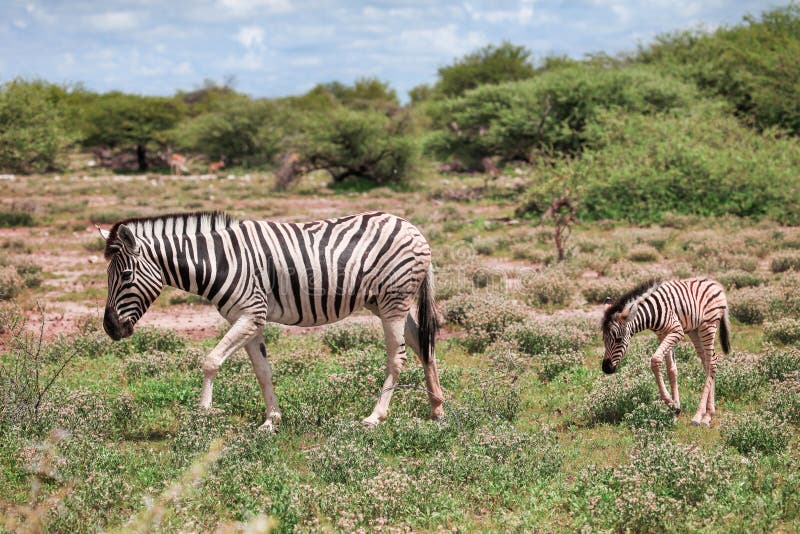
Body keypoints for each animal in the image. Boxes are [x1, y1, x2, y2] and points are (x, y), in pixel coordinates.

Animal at [99, 211, 444, 430]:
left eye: (125, 276)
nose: (110, 328)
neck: (217, 261)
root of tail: (413, 227)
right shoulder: (250, 320)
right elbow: (262, 371)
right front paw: (271, 420)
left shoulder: (251, 312)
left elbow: (210, 361)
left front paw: (204, 413)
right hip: (385, 303)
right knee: (422, 343)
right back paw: (437, 408)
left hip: (394, 300)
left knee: (397, 356)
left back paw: (376, 416)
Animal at [601, 277, 730, 426]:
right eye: (603, 339)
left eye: (619, 339)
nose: (606, 368)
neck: (654, 312)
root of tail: (716, 284)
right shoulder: (662, 334)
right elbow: (671, 370)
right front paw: (675, 410)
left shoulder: (676, 331)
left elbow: (655, 360)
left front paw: (669, 402)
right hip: (695, 330)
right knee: (707, 363)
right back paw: (708, 413)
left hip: (708, 326)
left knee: (712, 363)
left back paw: (699, 415)